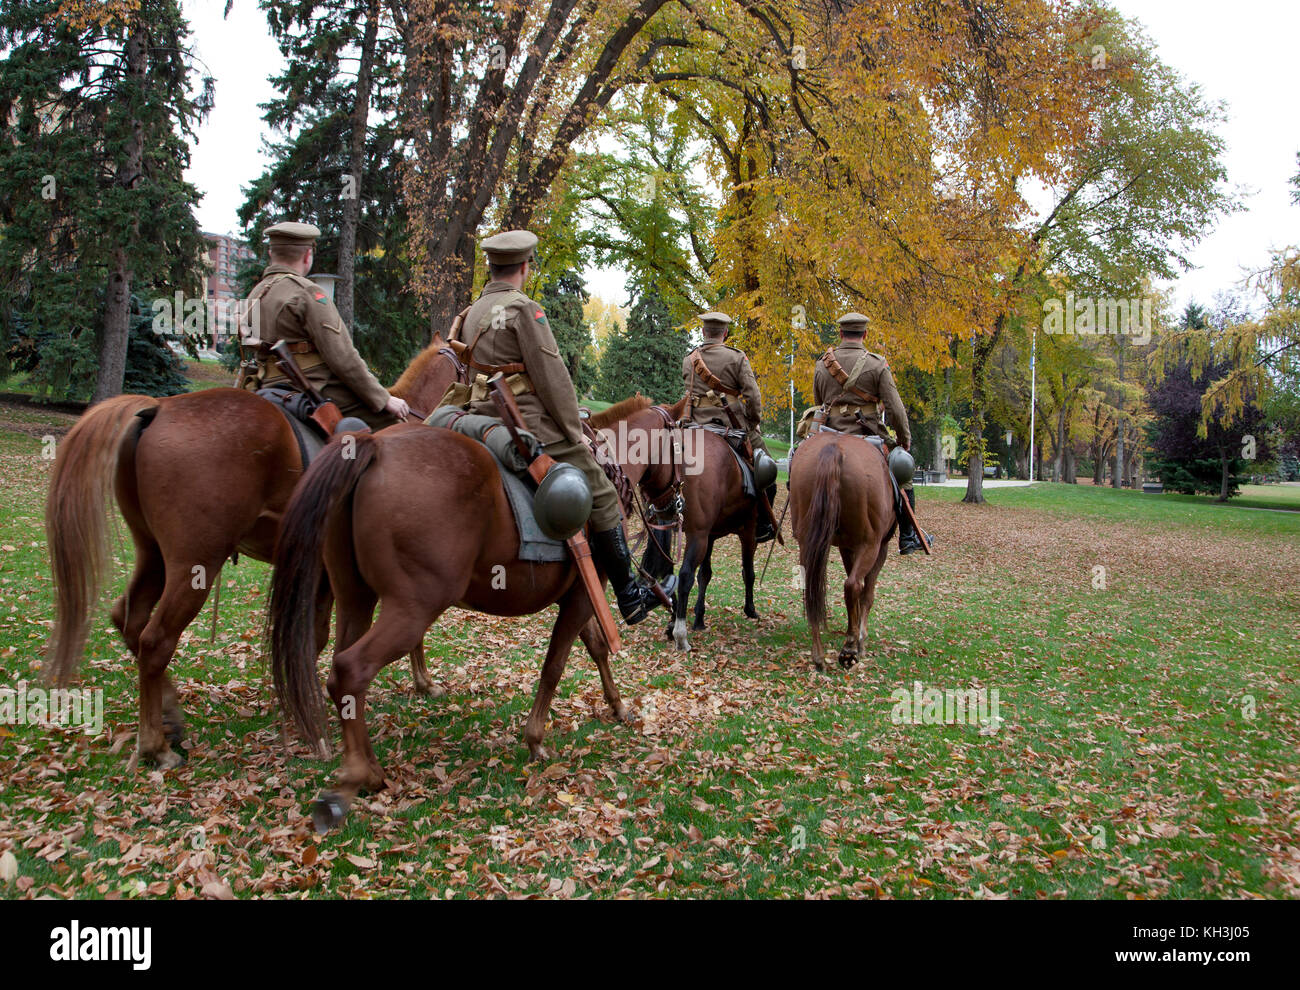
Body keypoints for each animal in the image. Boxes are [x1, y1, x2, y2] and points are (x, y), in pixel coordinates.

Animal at [42, 334, 464, 770]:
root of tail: (158, 409)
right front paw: (421, 682)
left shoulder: (325, 578)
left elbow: (317, 637)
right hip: (195, 565)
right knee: (156, 641)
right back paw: (155, 745)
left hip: (152, 554)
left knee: (129, 619)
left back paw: (169, 714)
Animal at [267, 395, 684, 832]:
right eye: (680, 444)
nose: (676, 505)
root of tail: (375, 446)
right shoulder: (585, 594)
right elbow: (556, 664)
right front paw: (536, 740)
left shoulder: (581, 594)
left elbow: (597, 648)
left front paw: (617, 705)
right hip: (412, 609)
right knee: (351, 670)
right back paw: (355, 777)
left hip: (355, 599)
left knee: (339, 674)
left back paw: (369, 769)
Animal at [640, 405, 766, 653]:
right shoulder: (746, 532)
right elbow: (748, 572)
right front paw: (750, 608)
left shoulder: (710, 535)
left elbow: (705, 575)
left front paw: (699, 618)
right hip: (699, 535)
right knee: (684, 575)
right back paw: (680, 633)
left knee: (670, 572)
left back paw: (673, 622)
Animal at [788, 431, 897, 671]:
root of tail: (834, 448)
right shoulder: (878, 548)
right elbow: (867, 593)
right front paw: (860, 640)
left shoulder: (848, 548)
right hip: (870, 544)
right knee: (853, 585)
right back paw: (849, 650)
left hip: (808, 543)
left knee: (811, 588)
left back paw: (818, 655)